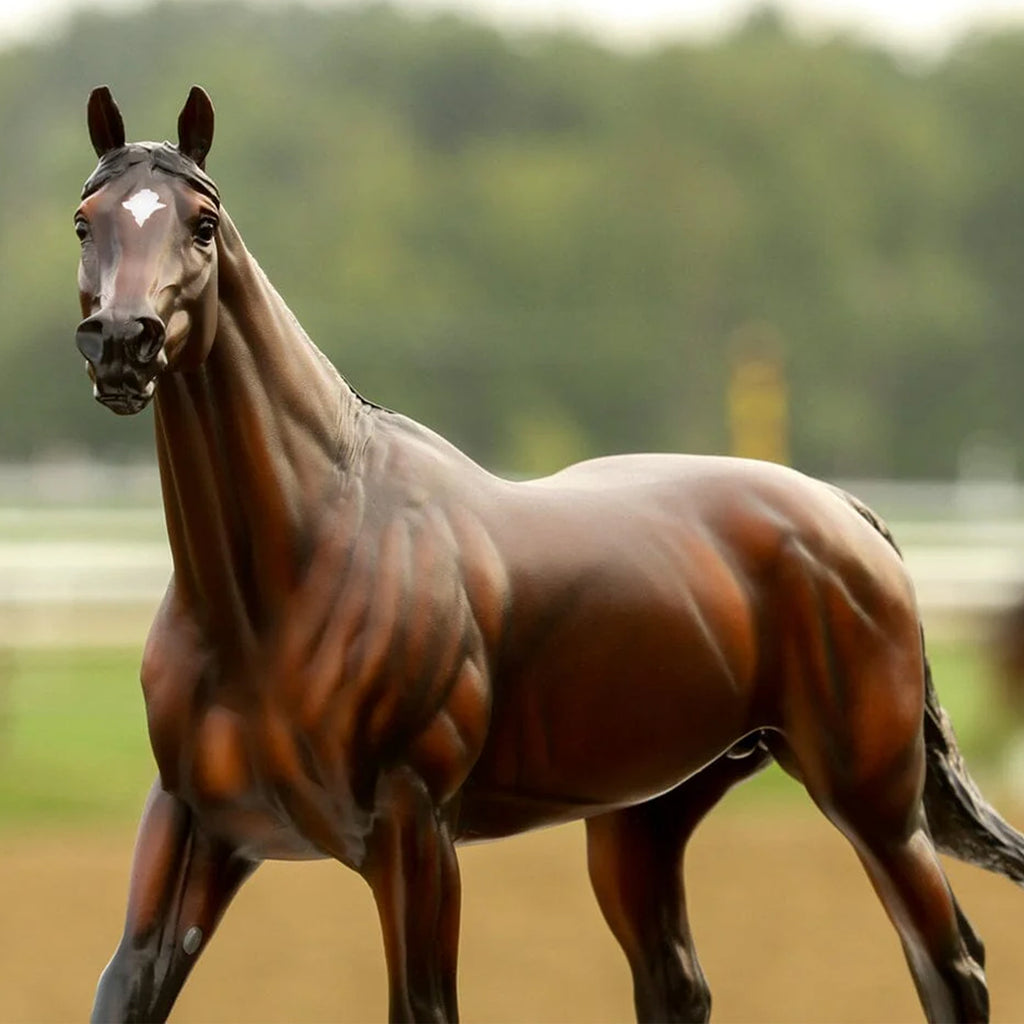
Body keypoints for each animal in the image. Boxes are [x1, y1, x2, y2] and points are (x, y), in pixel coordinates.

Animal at [74, 85, 1024, 1024]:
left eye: (202, 222)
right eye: (86, 221)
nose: (122, 341)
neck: (286, 580)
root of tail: (847, 512)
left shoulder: (414, 833)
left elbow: (424, 1005)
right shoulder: (196, 826)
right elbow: (126, 987)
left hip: (873, 801)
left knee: (952, 963)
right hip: (643, 815)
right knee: (676, 982)